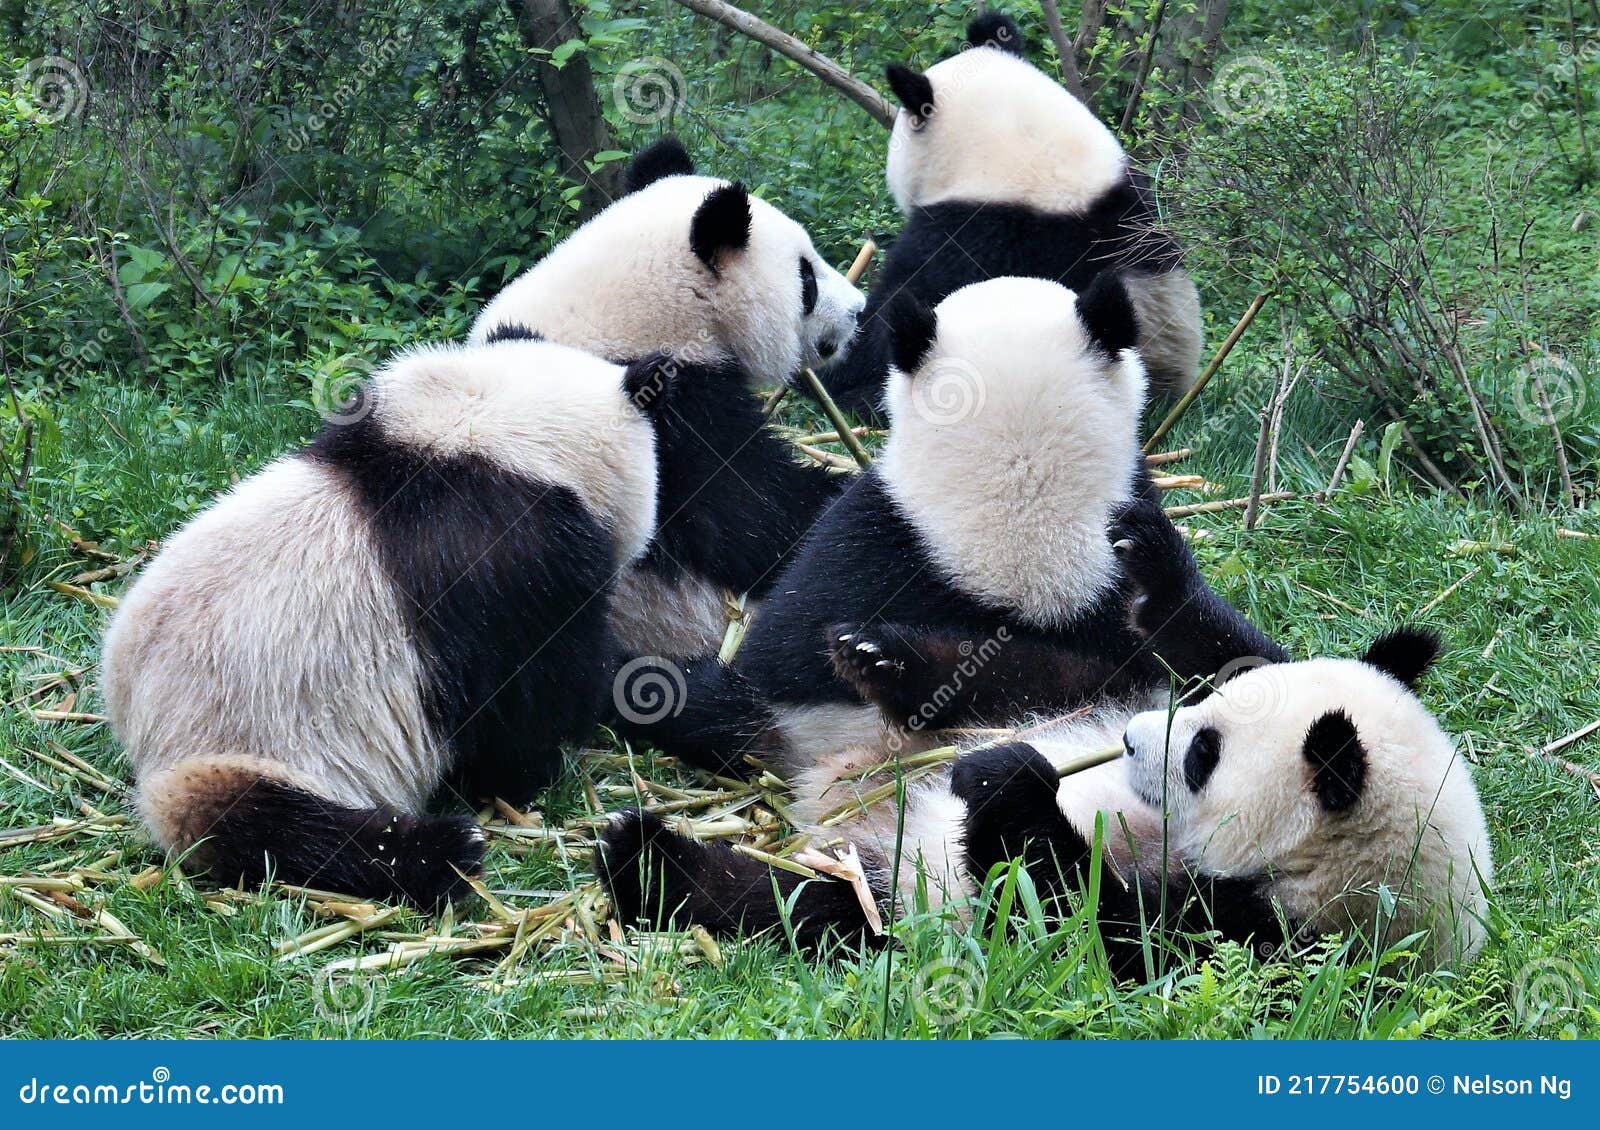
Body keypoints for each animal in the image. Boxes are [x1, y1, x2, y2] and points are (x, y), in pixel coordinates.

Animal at [101, 340, 705, 906]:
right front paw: (533, 772)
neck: (491, 438)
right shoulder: (514, 563)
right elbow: (526, 704)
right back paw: (445, 852)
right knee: (280, 829)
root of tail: (143, 738)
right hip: (240, 752)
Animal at [597, 620, 1494, 973]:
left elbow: (1068, 929)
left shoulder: (1262, 938)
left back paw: (644, 859)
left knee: (791, 904)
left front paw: (1004, 784)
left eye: (1202, 754)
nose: (1130, 738)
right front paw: (884, 655)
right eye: (1213, 704)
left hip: (890, 895)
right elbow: (1062, 670)